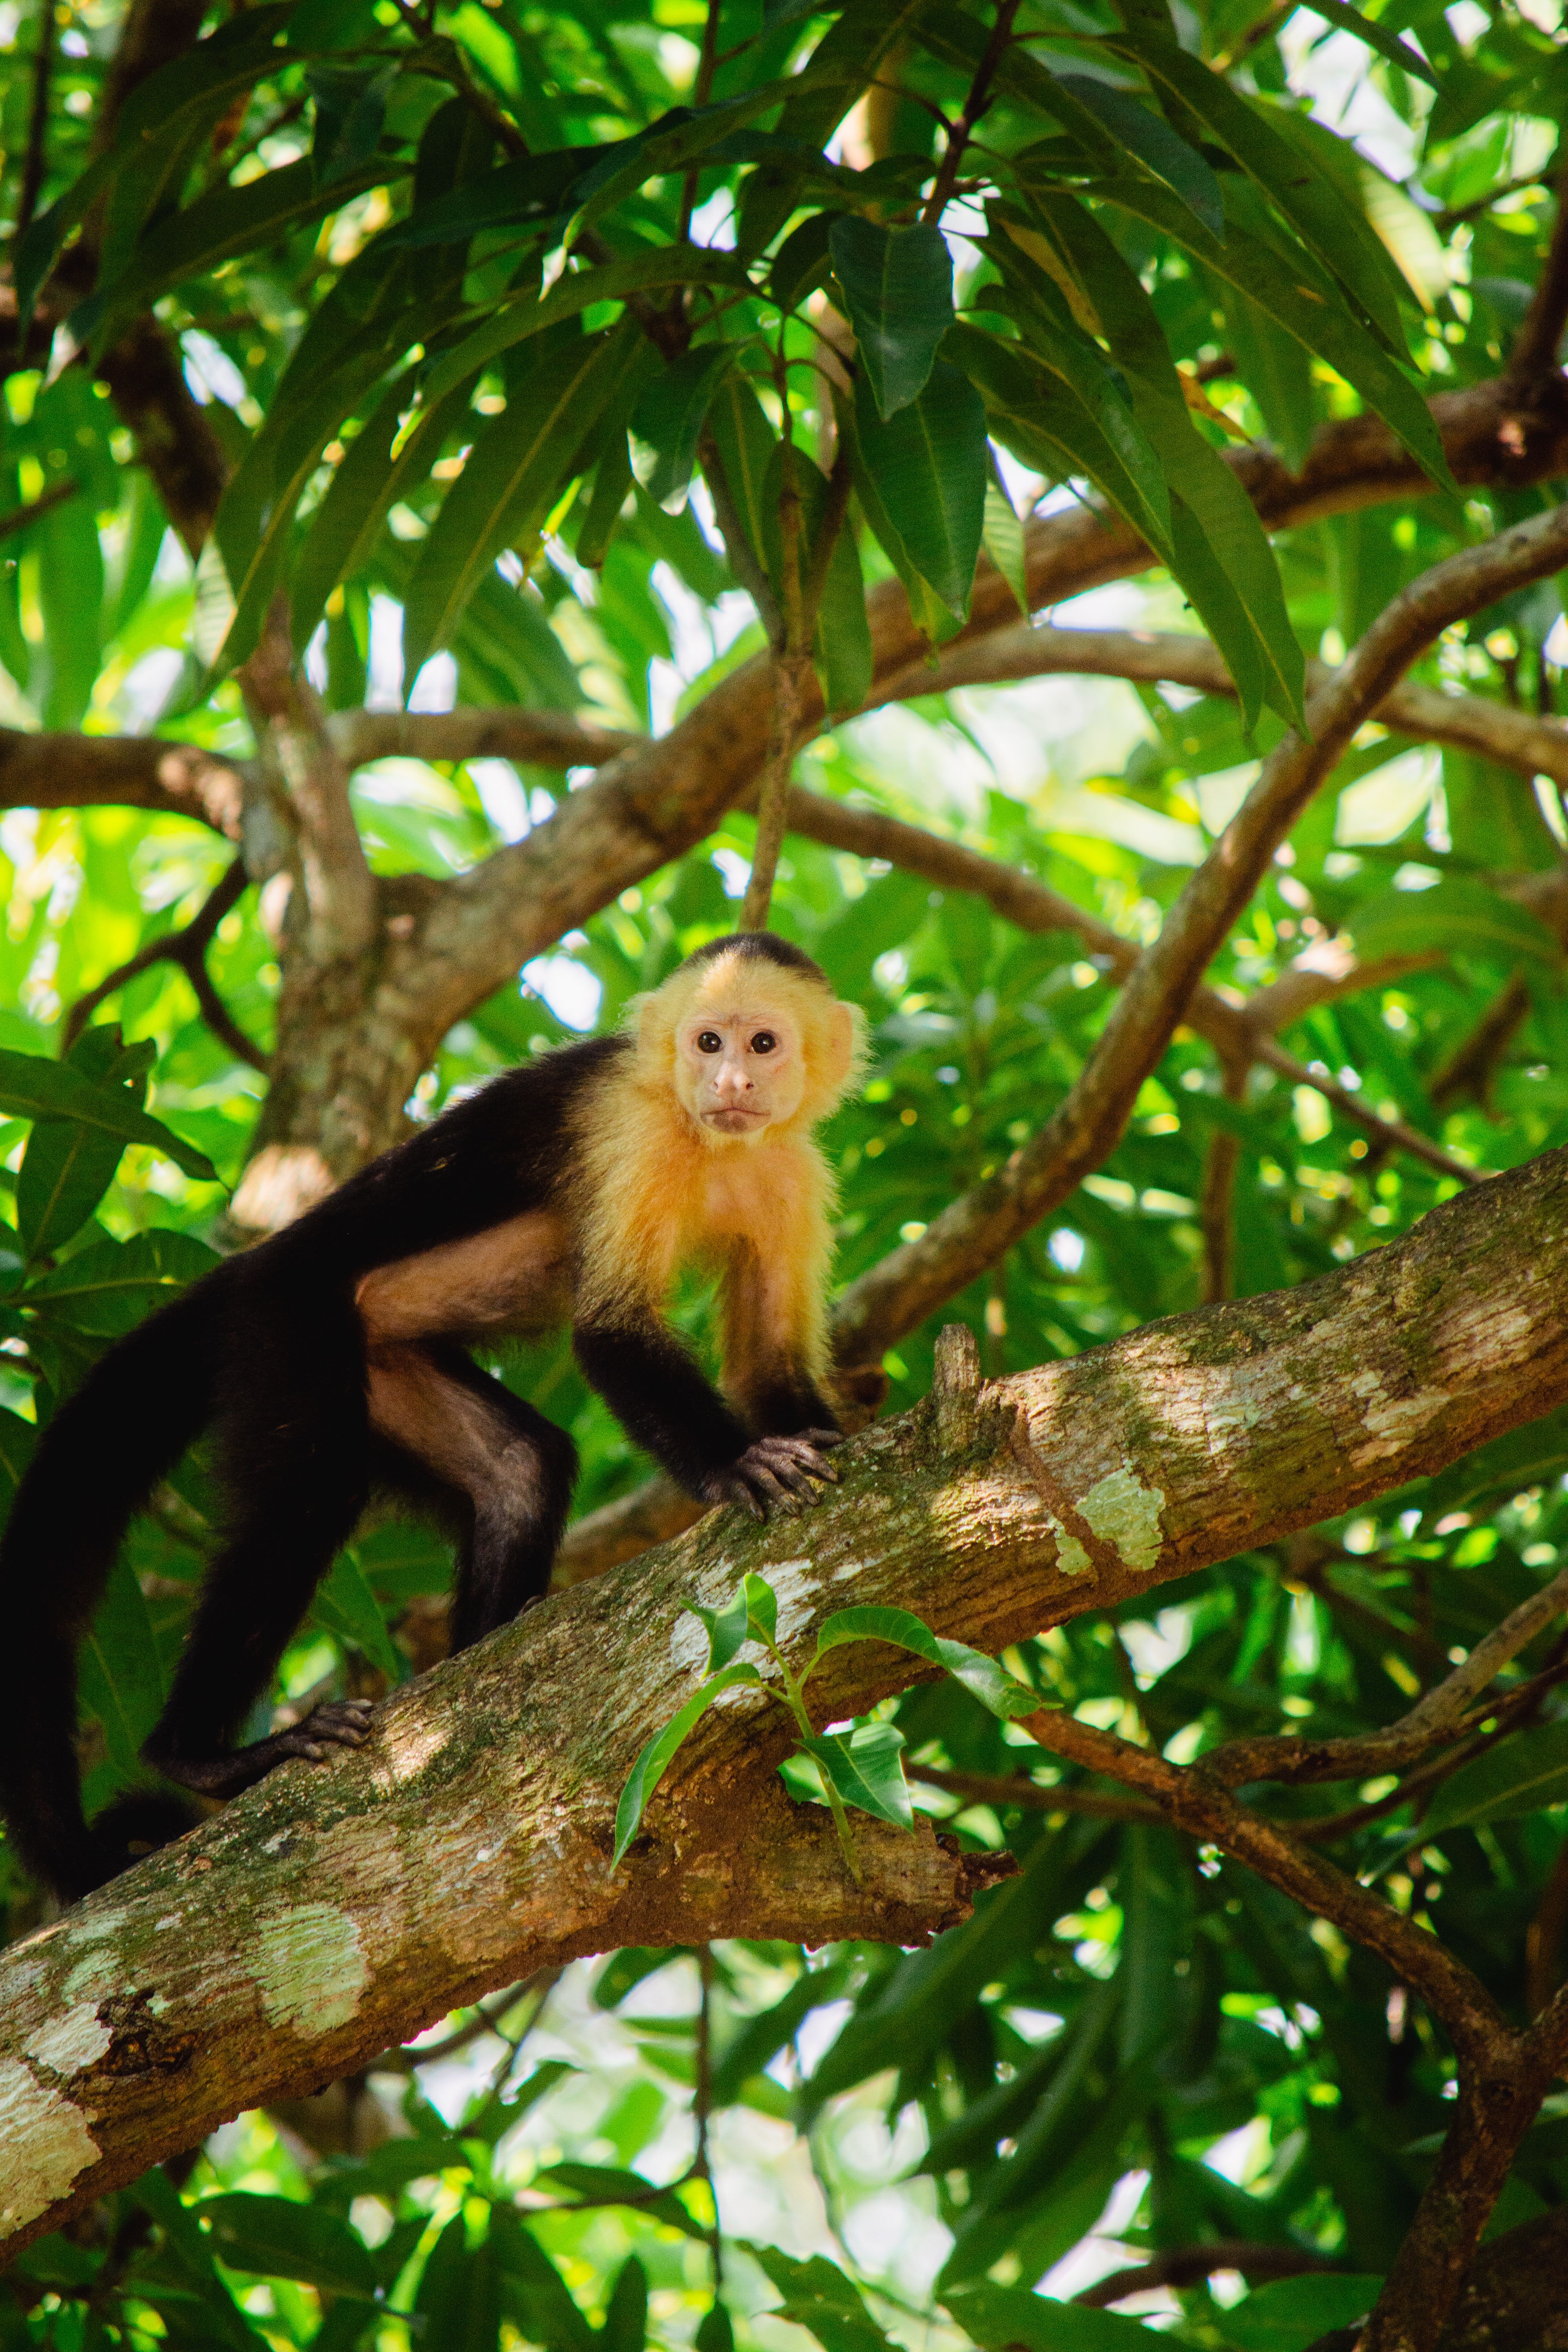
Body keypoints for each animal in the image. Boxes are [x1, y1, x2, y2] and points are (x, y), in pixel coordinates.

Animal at [0, 933, 868, 1902]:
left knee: (521, 1468)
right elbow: (611, 1333)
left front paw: (824, 1438)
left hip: (379, 1367)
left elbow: (764, 1364)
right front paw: (735, 1466)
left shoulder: (793, 1172)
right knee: (312, 1493)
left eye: (763, 1044)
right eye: (707, 1042)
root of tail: (250, 1265)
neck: (712, 1144)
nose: (729, 1082)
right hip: (285, 1325)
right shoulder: (627, 1130)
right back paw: (202, 1757)